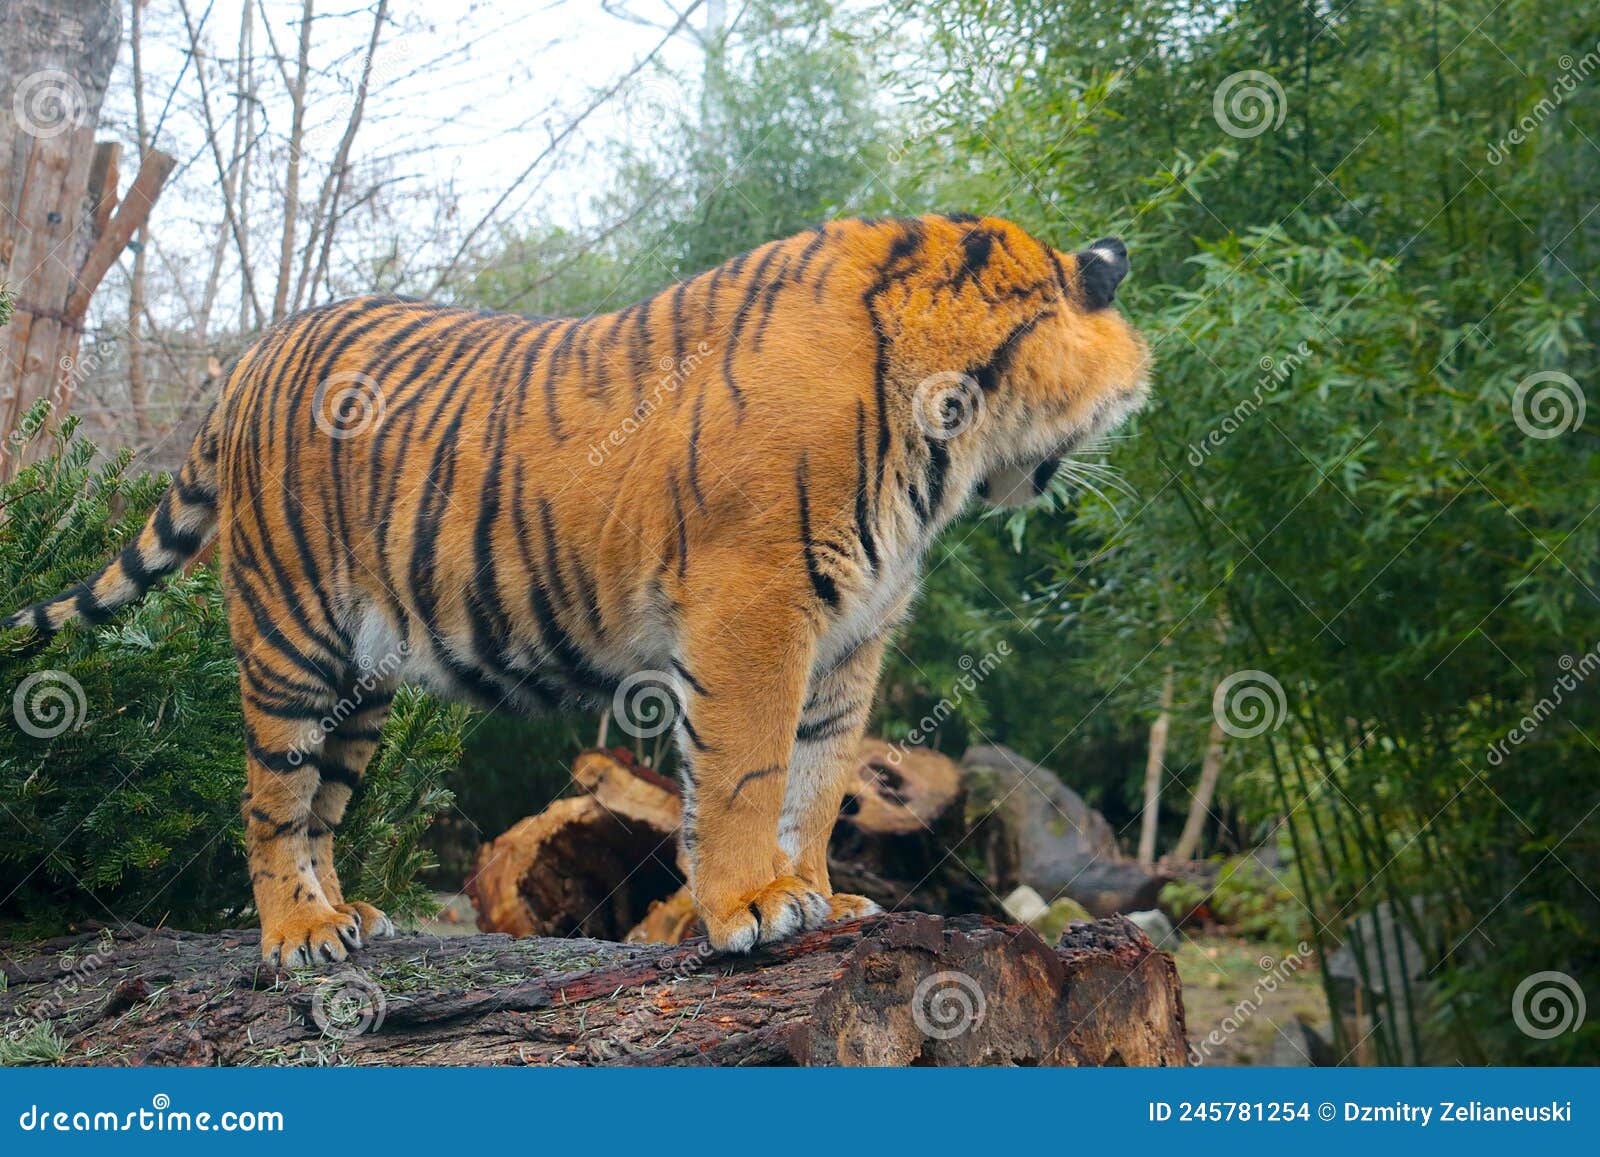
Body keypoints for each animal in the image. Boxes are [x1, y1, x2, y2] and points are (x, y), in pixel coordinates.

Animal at [6, 213, 1150, 965]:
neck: (952, 436)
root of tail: (254, 351)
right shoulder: (754, 607)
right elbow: (746, 772)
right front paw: (752, 906)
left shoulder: (852, 637)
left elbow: (819, 781)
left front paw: (822, 899)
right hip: (291, 635)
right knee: (271, 799)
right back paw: (297, 935)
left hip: (363, 681)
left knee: (323, 804)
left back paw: (348, 917)